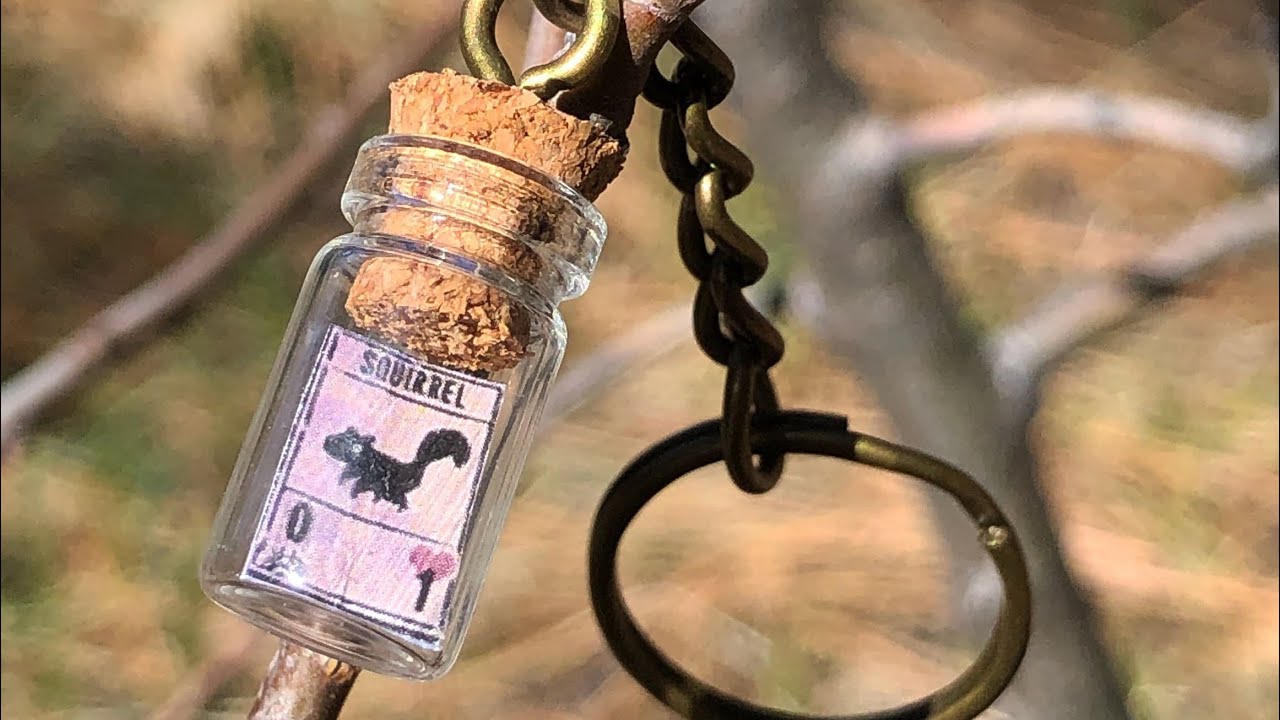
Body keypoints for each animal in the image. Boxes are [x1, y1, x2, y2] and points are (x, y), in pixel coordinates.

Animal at [322, 427, 472, 511]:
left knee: (400, 500)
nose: (326, 440)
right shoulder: (356, 471)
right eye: (338, 436)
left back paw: (398, 508)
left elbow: (358, 485)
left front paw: (352, 495)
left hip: (395, 491)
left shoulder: (368, 478)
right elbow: (347, 475)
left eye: (337, 443)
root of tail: (417, 466)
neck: (366, 457)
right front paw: (341, 482)